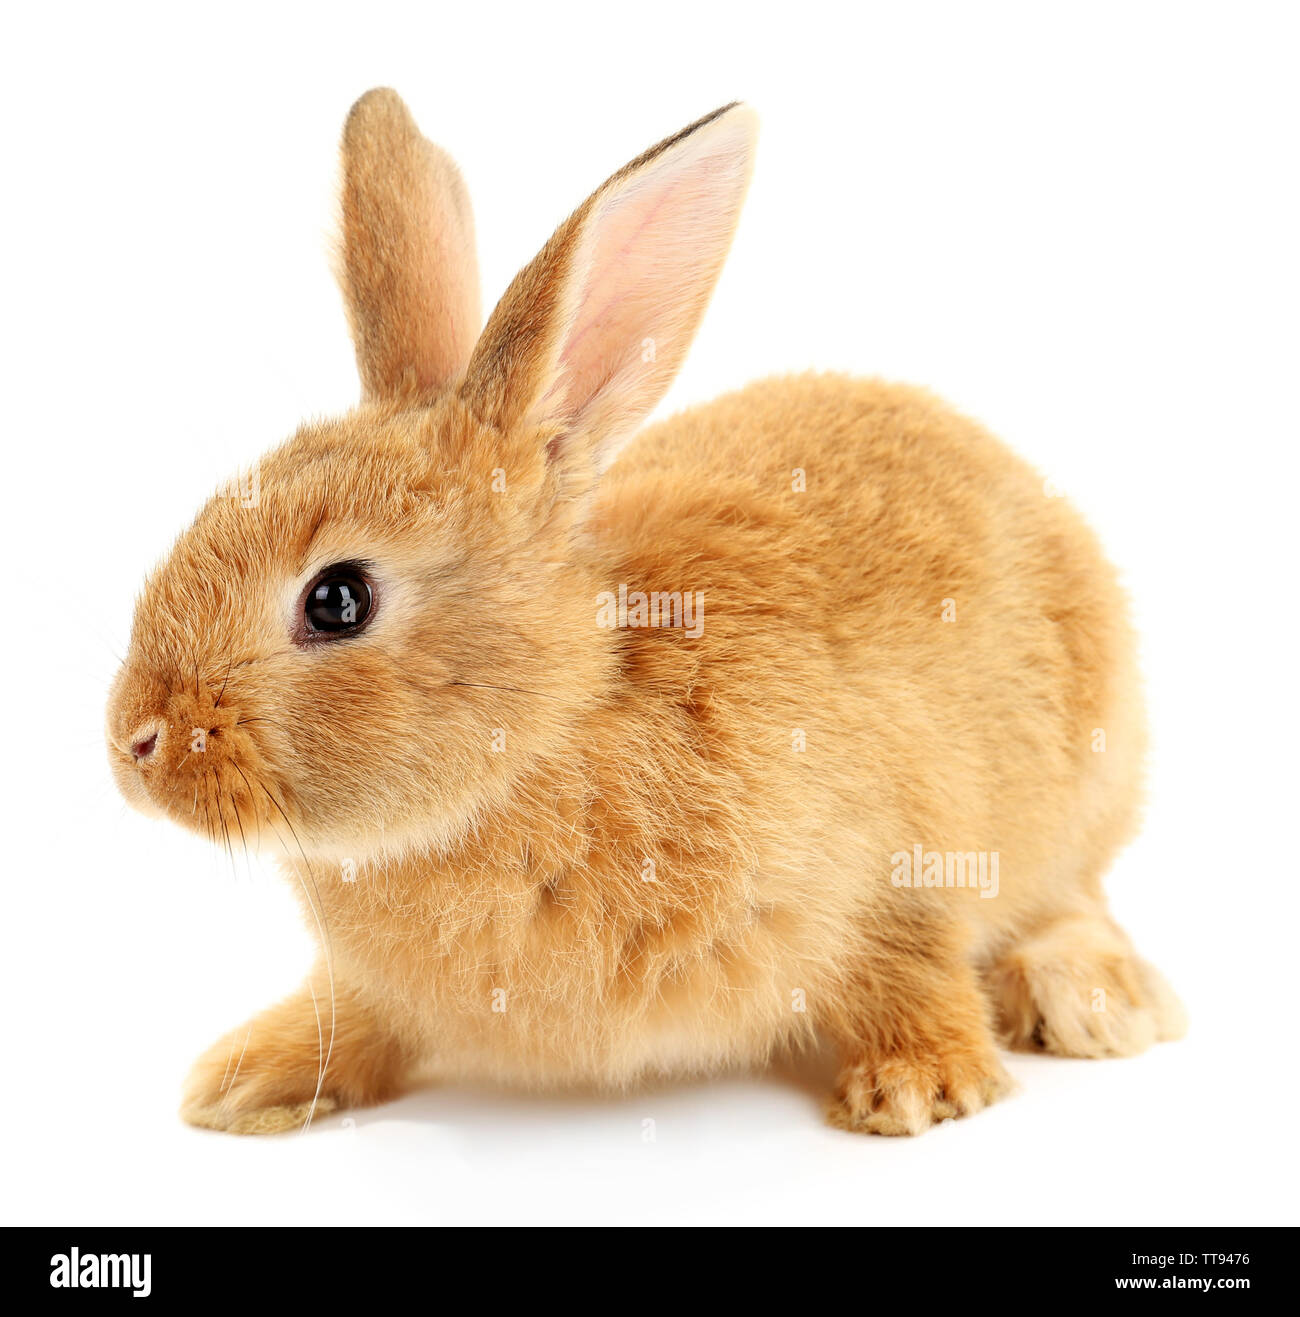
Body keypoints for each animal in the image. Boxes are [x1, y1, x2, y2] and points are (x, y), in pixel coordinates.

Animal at [105, 88, 1185, 1137]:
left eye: (337, 600)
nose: (134, 744)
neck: (559, 728)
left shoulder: (897, 863)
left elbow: (911, 967)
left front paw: (923, 1087)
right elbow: (353, 1016)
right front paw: (248, 1077)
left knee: (1073, 896)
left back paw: (1096, 1000)